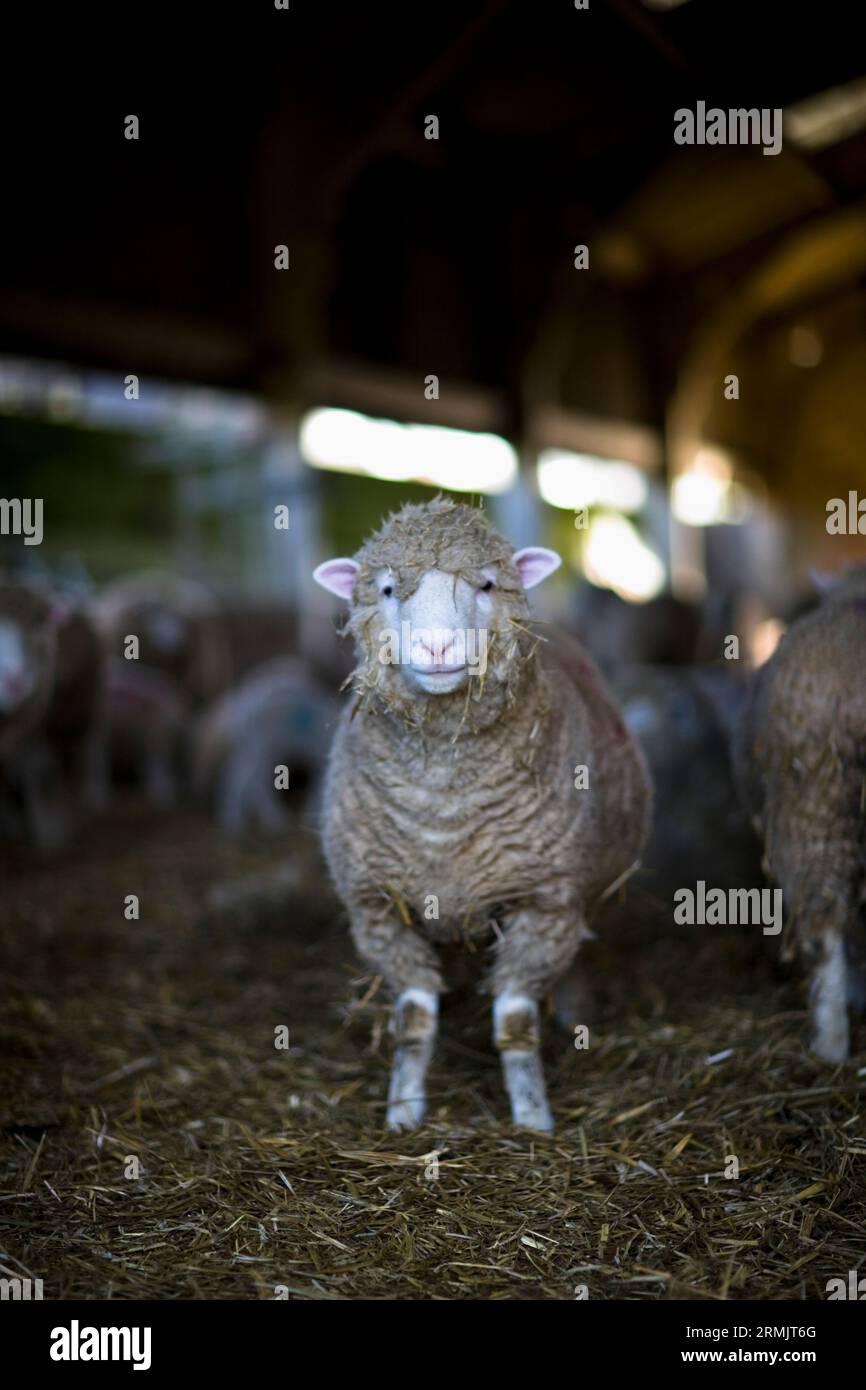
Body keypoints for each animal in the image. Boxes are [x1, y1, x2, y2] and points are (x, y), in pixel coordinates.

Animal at [313, 498, 650, 1132]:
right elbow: (414, 1021)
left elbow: (515, 1022)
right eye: (389, 588)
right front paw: (404, 1110)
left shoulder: (546, 905)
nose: (438, 649)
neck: (444, 806)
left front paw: (533, 1117)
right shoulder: (377, 910)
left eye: (487, 584)